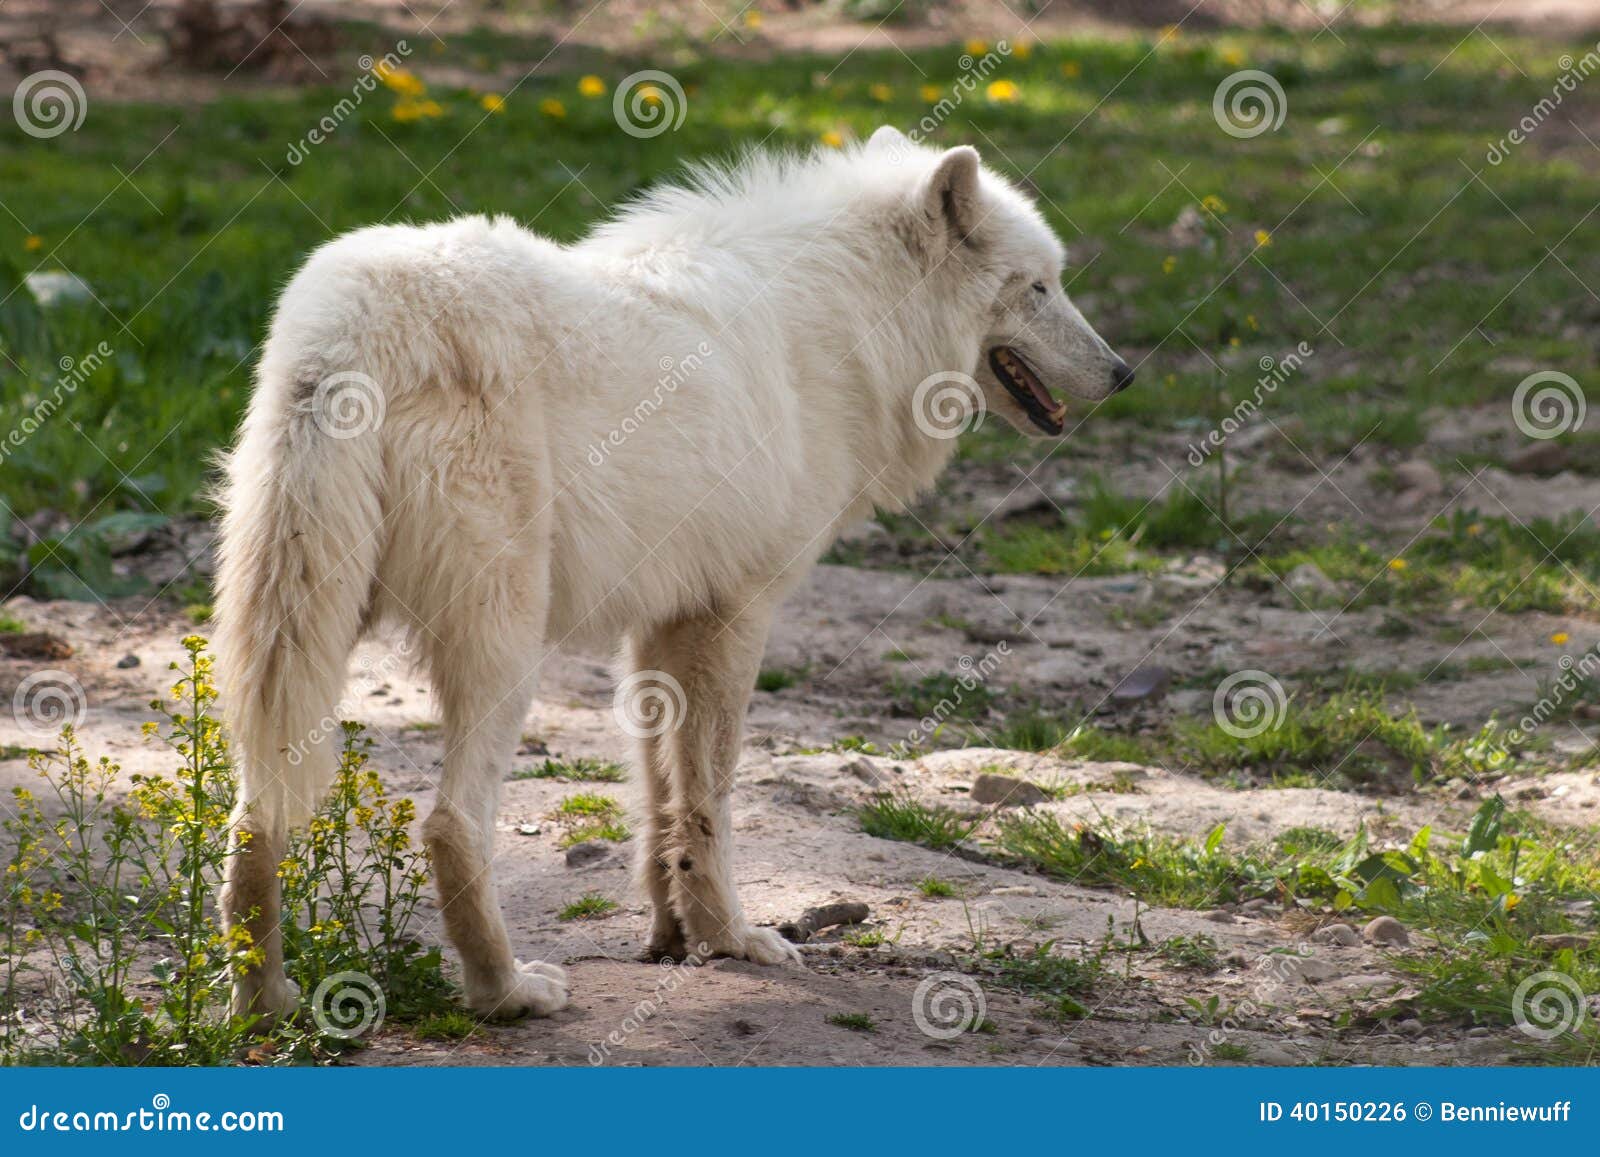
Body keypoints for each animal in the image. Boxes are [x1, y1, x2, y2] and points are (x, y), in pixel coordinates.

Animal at [214, 125, 1132, 1021]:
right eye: (1039, 288)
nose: (1125, 372)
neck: (851, 322)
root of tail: (354, 325)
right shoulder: (737, 612)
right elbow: (709, 799)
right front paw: (734, 939)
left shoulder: (661, 624)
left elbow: (662, 805)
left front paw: (672, 934)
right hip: (501, 648)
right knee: (450, 824)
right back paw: (507, 992)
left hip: (304, 637)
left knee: (257, 815)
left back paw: (264, 1006)